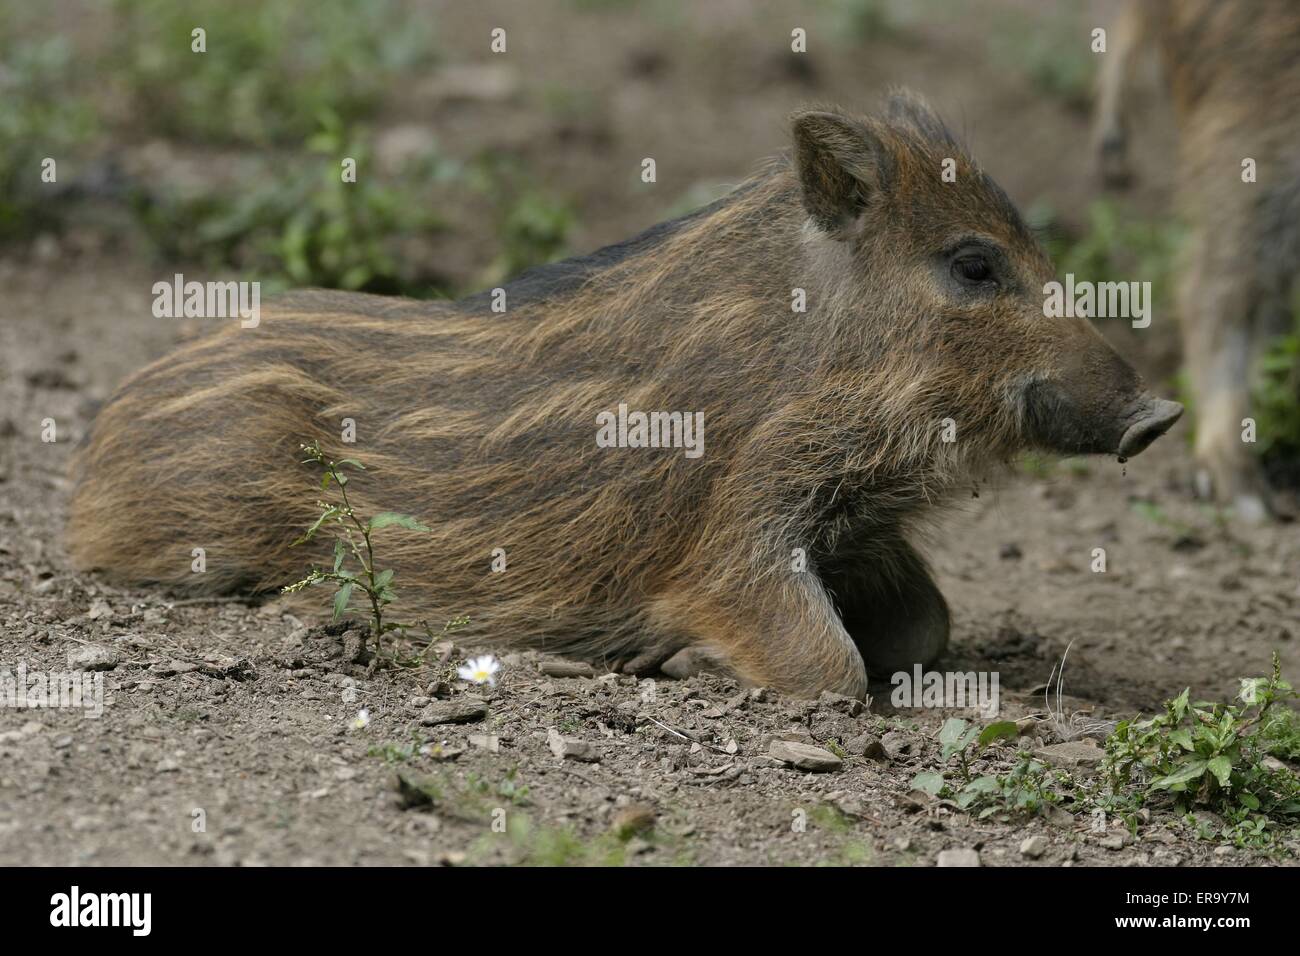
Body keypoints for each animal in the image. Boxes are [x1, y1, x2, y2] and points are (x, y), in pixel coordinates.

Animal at [68, 91, 1181, 700]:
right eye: (973, 263)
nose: (1158, 414)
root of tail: (94, 449)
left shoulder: (852, 525)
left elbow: (926, 625)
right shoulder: (741, 524)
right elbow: (830, 668)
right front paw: (677, 665)